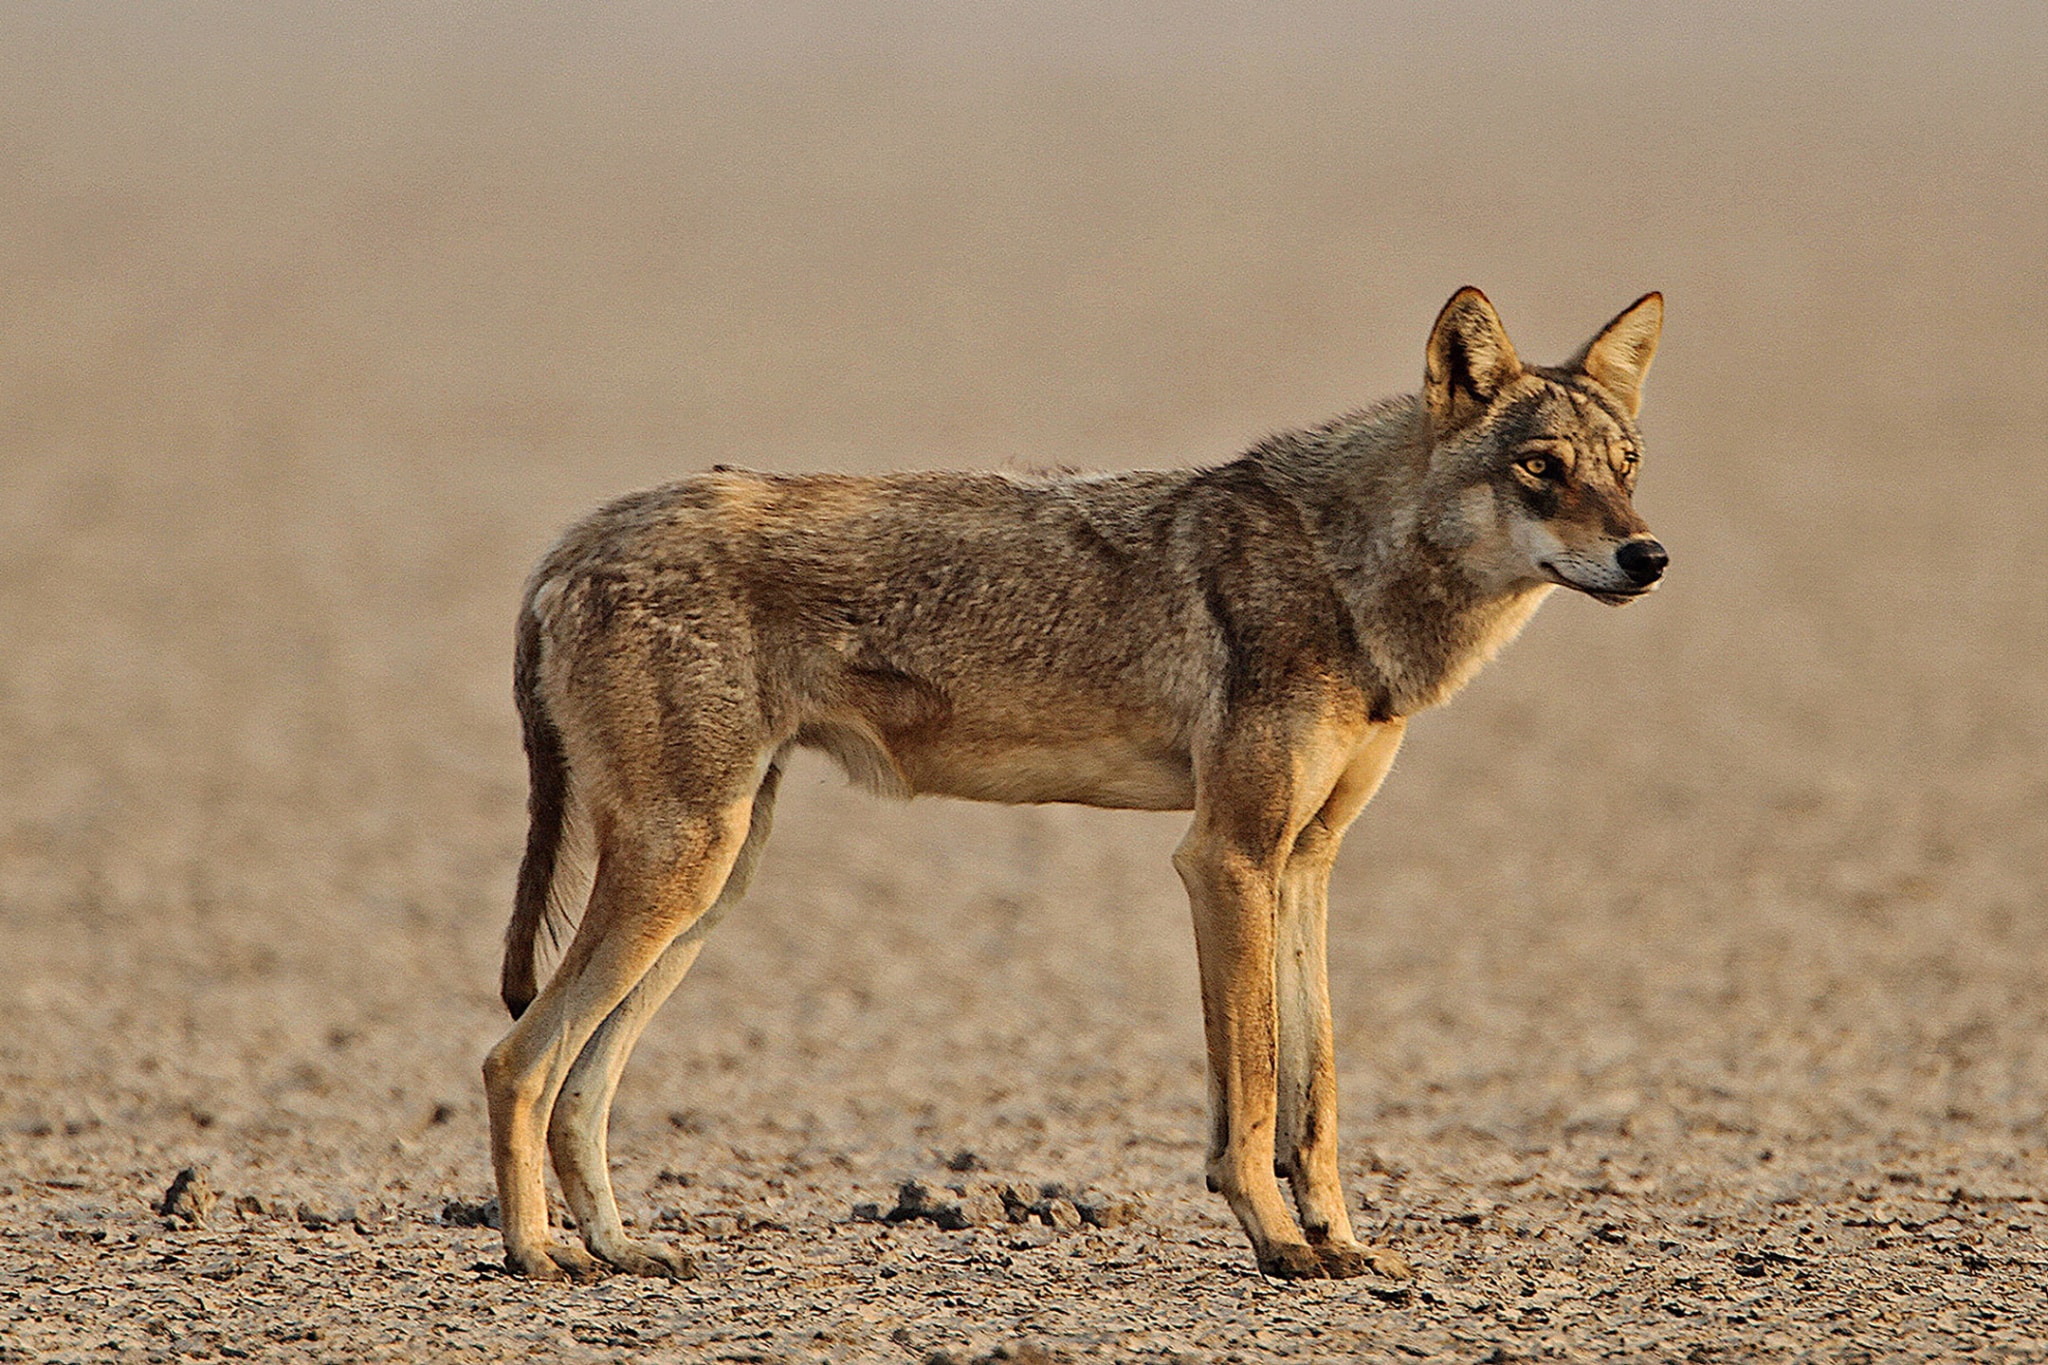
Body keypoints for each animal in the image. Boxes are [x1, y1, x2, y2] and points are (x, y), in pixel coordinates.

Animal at [482, 287, 1667, 1282]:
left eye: (1625, 464)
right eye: (1540, 468)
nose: (1649, 558)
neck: (1349, 575)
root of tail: (569, 541)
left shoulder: (1303, 865)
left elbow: (1314, 1092)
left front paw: (1339, 1240)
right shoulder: (1224, 858)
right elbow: (1249, 1098)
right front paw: (1279, 1246)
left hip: (713, 885)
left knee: (582, 1084)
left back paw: (618, 1249)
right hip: (680, 867)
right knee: (515, 1063)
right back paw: (538, 1255)